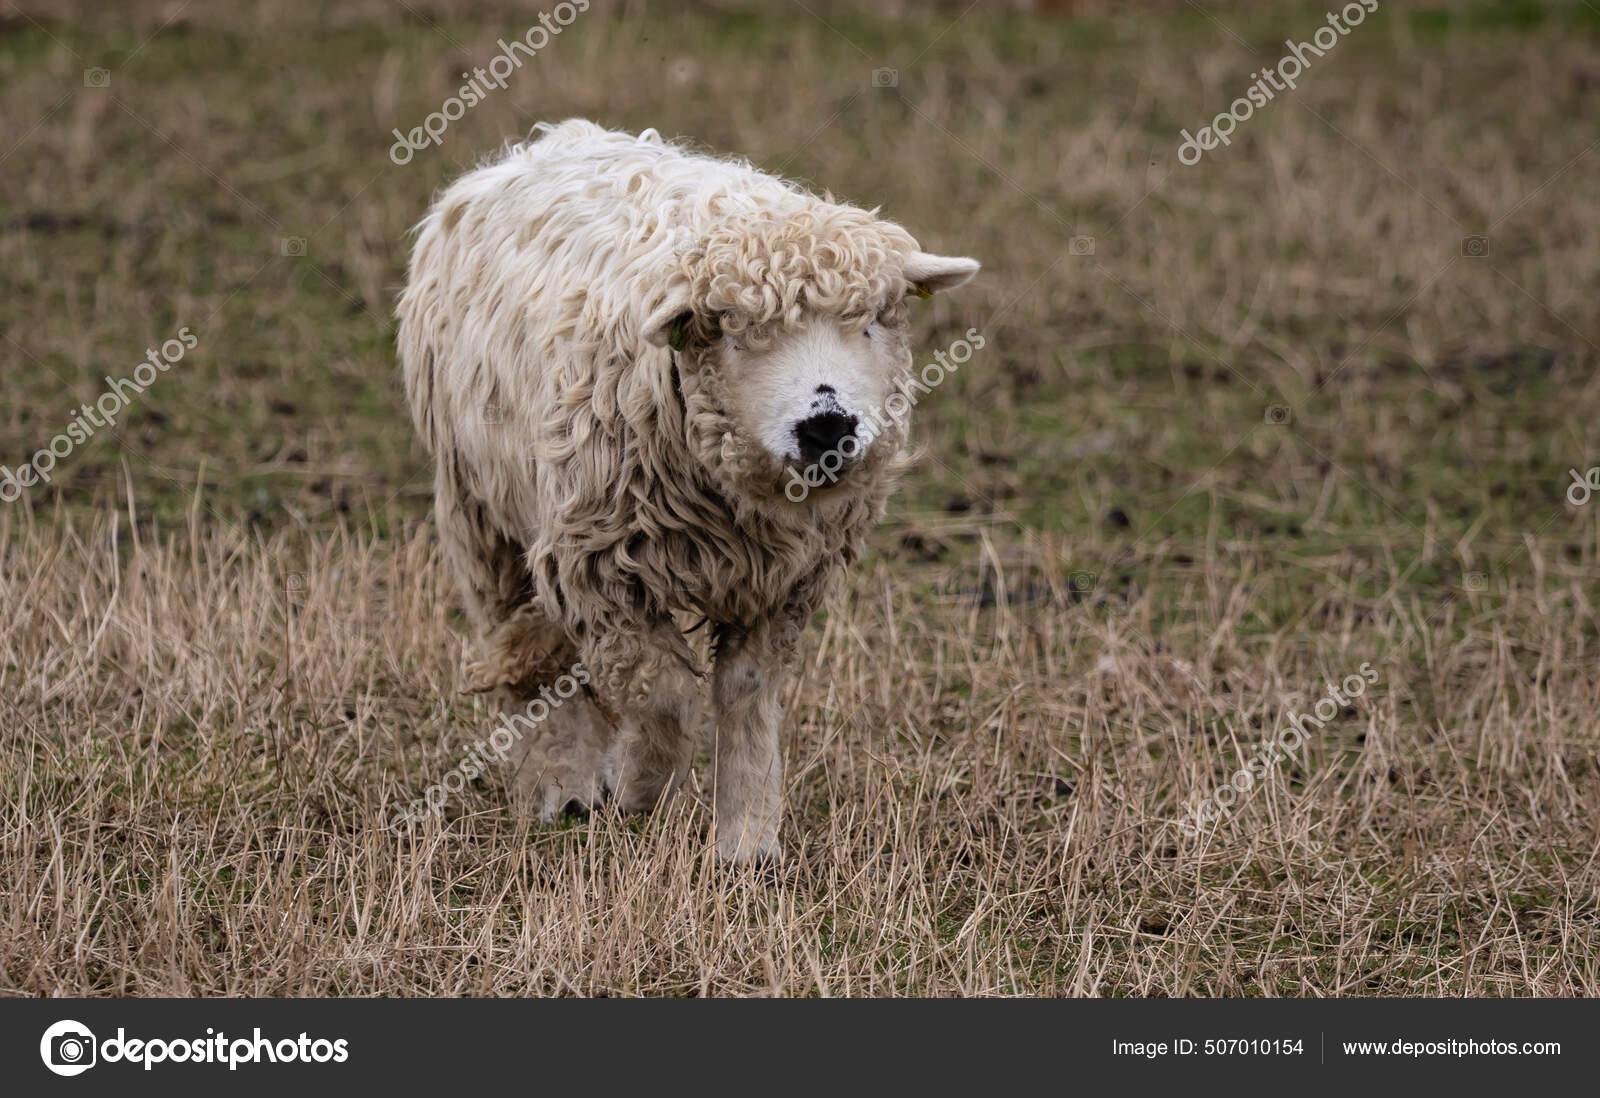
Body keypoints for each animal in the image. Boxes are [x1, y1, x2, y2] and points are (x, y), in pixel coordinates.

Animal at [396, 119, 979, 862]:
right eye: (734, 328)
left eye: (874, 320)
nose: (827, 425)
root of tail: (548, 141)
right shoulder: (598, 568)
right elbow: (666, 695)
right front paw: (639, 786)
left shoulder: (783, 582)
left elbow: (746, 695)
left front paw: (747, 841)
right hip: (479, 511)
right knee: (525, 655)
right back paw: (563, 783)